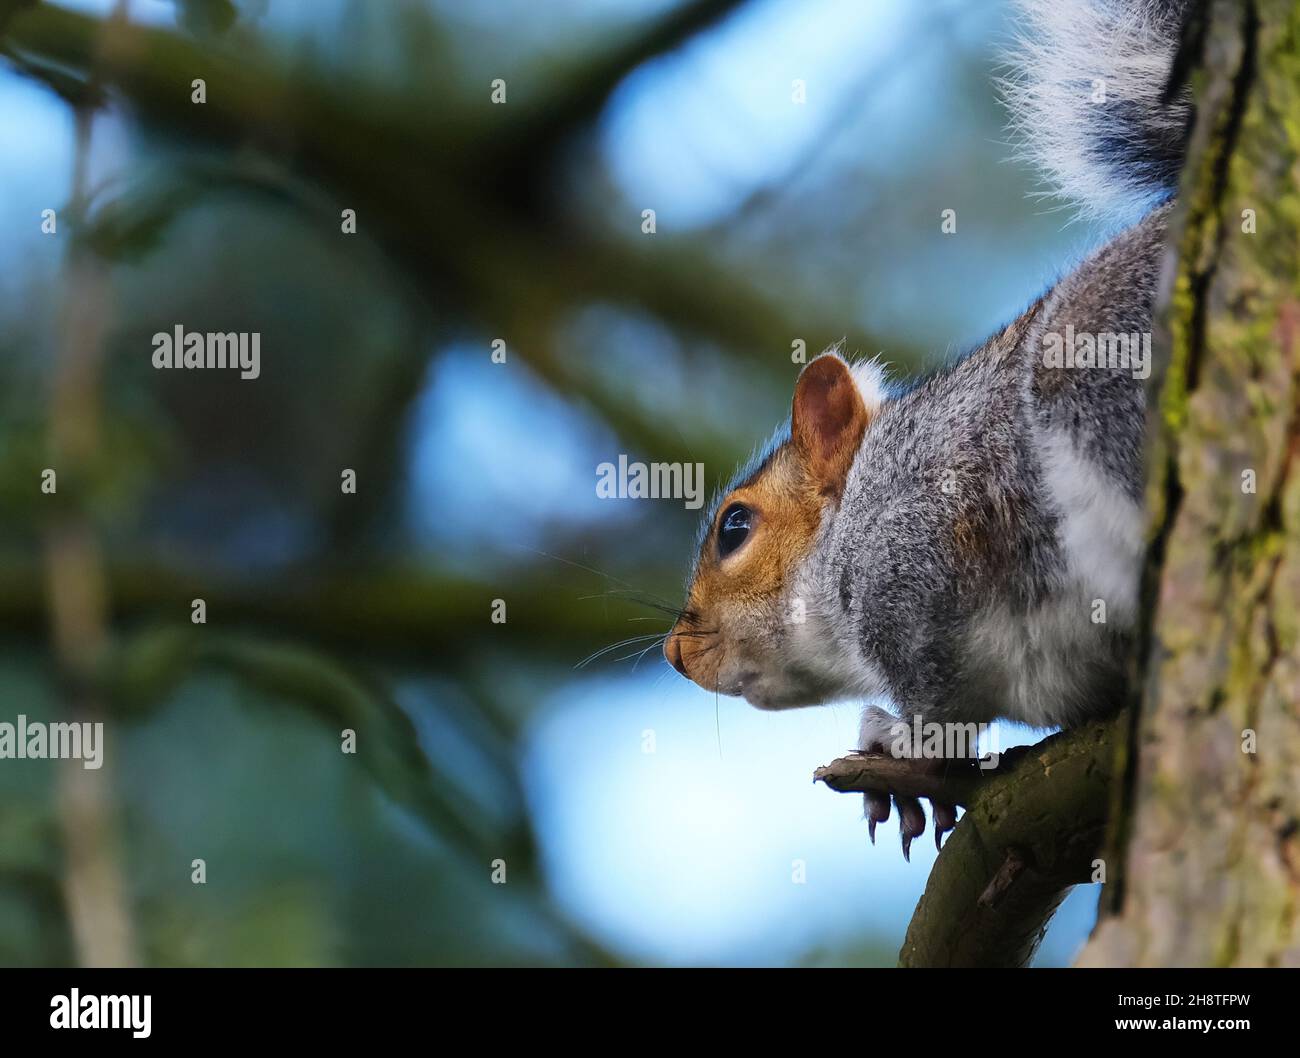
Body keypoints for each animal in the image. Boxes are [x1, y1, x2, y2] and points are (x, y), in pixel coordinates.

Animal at [664, 0, 1194, 858]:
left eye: (734, 527)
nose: (676, 654)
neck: (851, 516)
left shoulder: (915, 557)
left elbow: (941, 700)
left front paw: (895, 743)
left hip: (1097, 368)